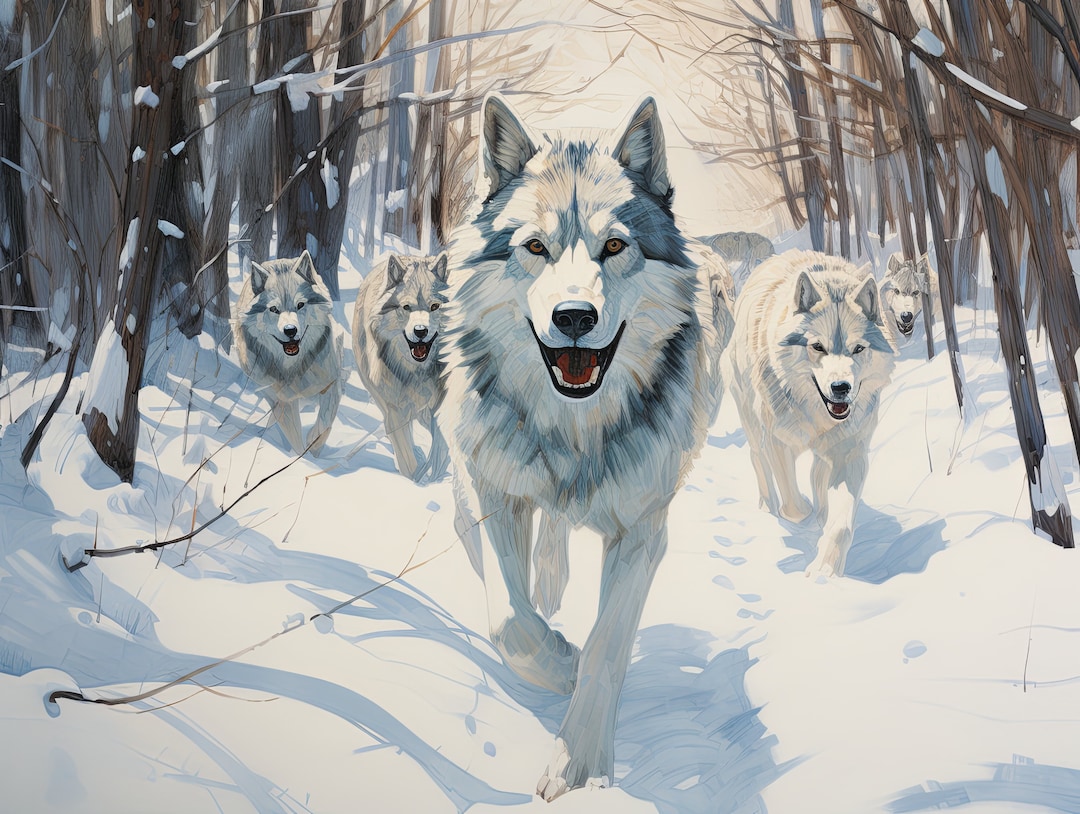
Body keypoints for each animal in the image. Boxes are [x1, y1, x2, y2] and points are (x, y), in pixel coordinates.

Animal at [233, 251, 342, 455]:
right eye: (274, 309)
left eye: (300, 305)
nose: (290, 330)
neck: (293, 367)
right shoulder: (283, 402)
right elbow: (294, 438)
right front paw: (299, 458)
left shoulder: (330, 384)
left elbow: (325, 422)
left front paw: (313, 446)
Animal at [351, 252, 450, 482]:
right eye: (406, 307)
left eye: (434, 306)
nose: (421, 331)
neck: (418, 372)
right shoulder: (394, 412)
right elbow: (408, 460)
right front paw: (415, 482)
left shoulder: (439, 407)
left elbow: (441, 448)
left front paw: (436, 476)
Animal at [440, 93, 716, 800]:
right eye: (535, 247)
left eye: (614, 246)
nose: (573, 317)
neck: (572, 434)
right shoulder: (485, 486)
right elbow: (509, 620)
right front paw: (557, 660)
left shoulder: (643, 531)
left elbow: (607, 649)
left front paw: (579, 768)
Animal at [727, 250, 896, 577]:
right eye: (817, 346)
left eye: (859, 349)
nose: (841, 387)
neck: (817, 415)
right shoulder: (778, 443)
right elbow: (793, 504)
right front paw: (800, 519)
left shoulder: (850, 453)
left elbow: (841, 523)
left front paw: (824, 572)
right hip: (753, 426)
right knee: (759, 462)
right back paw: (768, 507)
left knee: (817, 473)